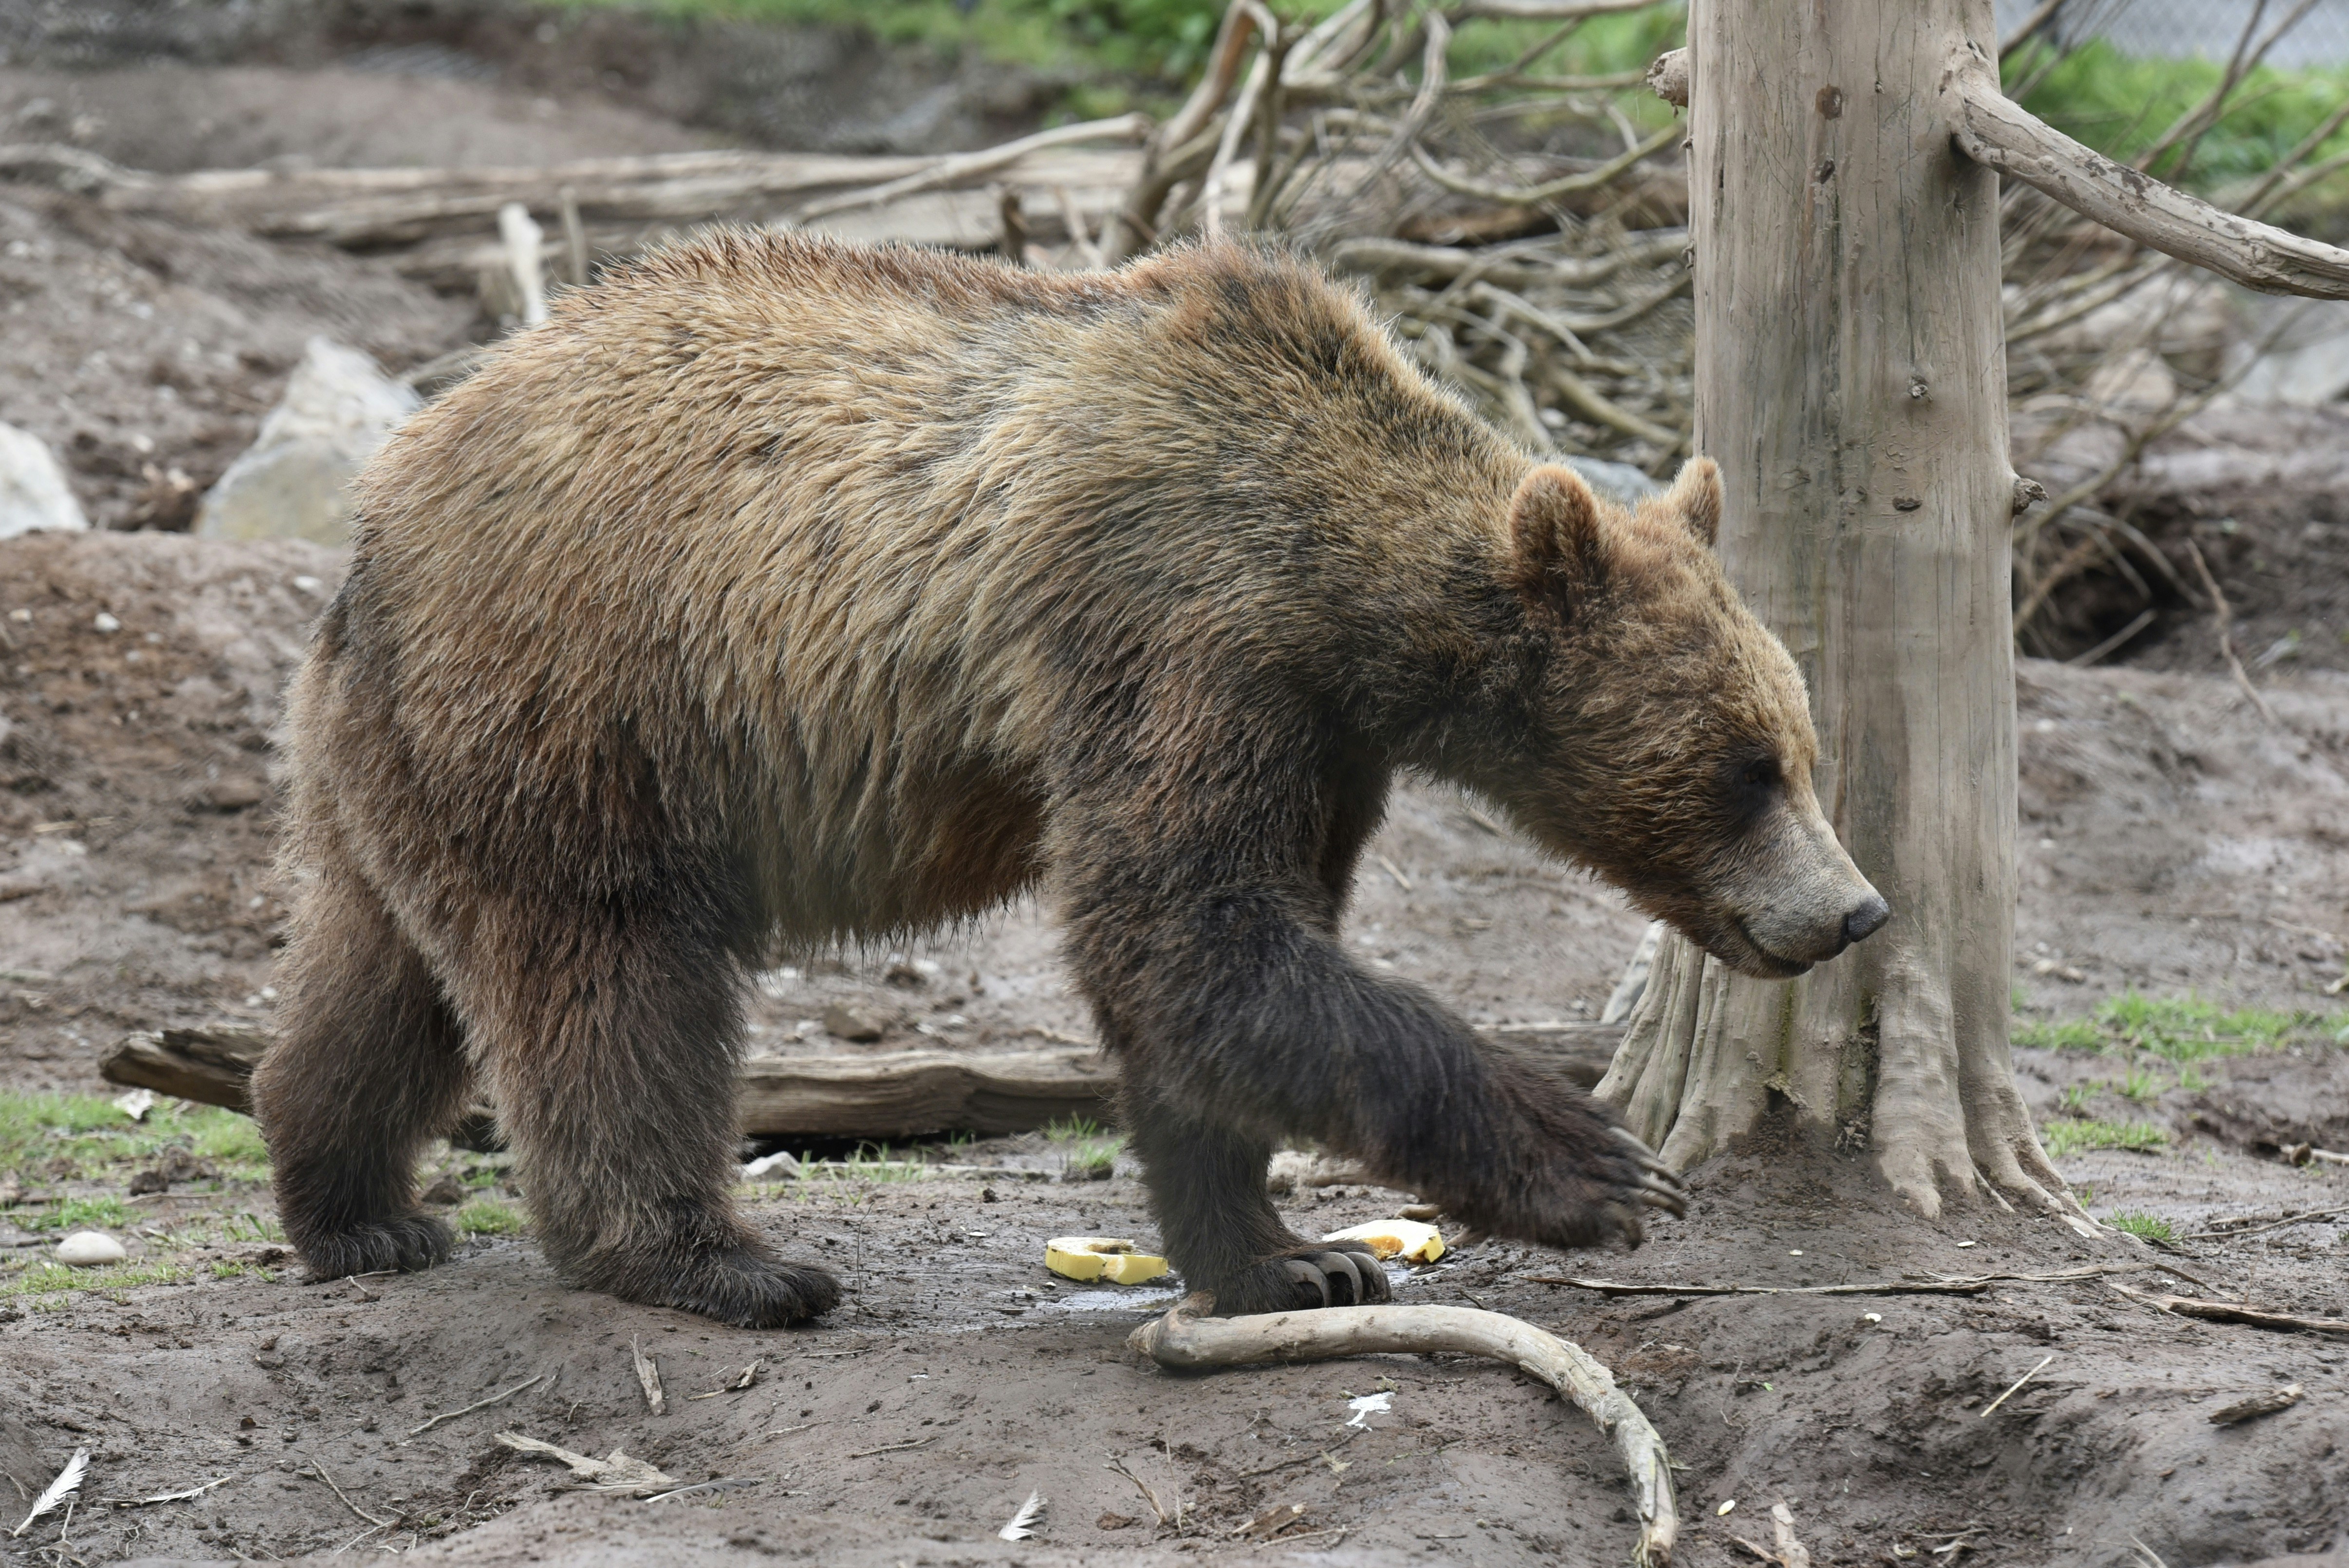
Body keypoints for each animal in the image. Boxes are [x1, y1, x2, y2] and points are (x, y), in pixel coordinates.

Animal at [250, 231, 1888, 1327]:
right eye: (1748, 766)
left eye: (1804, 747)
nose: (1853, 908)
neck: (1347, 598)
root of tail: (384, 507)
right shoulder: (1178, 631)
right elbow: (1186, 932)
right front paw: (1601, 1167)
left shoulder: (1316, 736)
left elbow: (1227, 961)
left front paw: (1286, 1253)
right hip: (594, 698)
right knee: (612, 977)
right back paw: (720, 1257)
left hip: (406, 754)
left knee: (384, 971)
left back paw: (356, 1207)